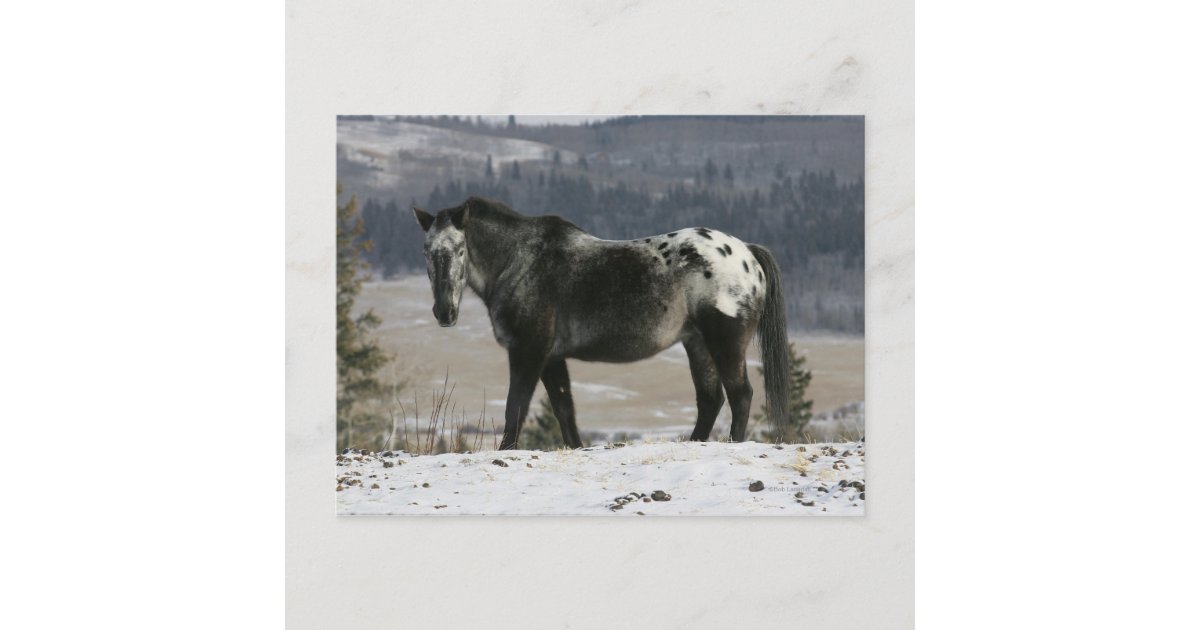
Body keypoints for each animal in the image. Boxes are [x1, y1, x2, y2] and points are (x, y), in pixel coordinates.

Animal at [412, 196, 789, 450]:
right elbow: (564, 408)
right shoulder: (551, 357)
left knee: (740, 394)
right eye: (426, 251)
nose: (444, 312)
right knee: (710, 400)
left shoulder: (528, 352)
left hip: (725, 342)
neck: (521, 261)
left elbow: (515, 407)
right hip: (697, 344)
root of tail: (747, 253)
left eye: (460, 250)